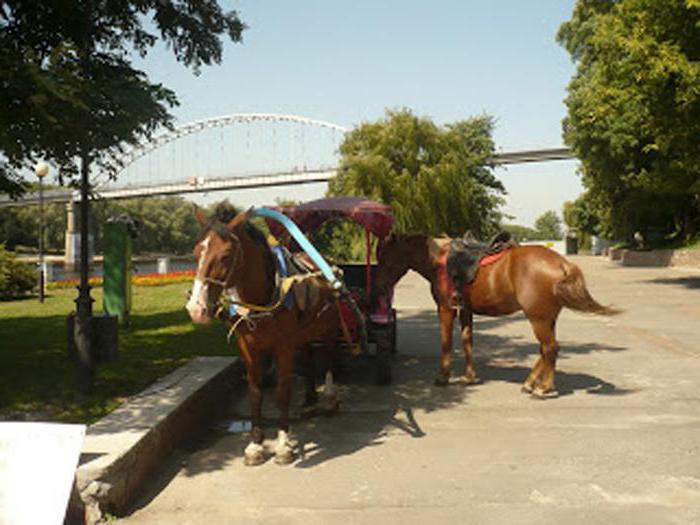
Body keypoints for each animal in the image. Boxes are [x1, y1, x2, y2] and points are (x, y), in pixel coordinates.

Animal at [185, 207, 340, 464]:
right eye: (196, 252)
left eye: (227, 254)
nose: (196, 308)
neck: (262, 299)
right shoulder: (248, 347)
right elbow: (255, 392)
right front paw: (255, 444)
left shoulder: (284, 345)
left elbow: (282, 392)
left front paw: (283, 443)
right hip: (303, 332)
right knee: (308, 358)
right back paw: (309, 401)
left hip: (327, 326)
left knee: (328, 357)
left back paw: (329, 398)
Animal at [374, 234, 620, 398]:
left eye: (386, 258)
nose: (379, 286)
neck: (439, 262)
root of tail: (562, 263)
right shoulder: (466, 310)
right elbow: (467, 341)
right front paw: (469, 377)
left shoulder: (445, 308)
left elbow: (446, 343)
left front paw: (443, 377)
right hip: (547, 318)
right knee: (545, 349)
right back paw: (530, 383)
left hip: (538, 318)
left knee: (550, 348)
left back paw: (544, 388)